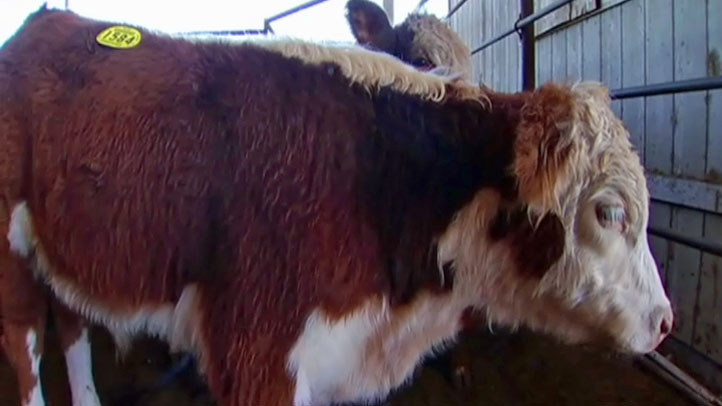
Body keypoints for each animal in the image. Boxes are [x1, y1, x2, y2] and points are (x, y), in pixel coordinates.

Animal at [0, 7, 673, 406]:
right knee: (26, 342)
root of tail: (46, 20)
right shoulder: (257, 355)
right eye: (609, 212)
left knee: (71, 323)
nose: (665, 323)